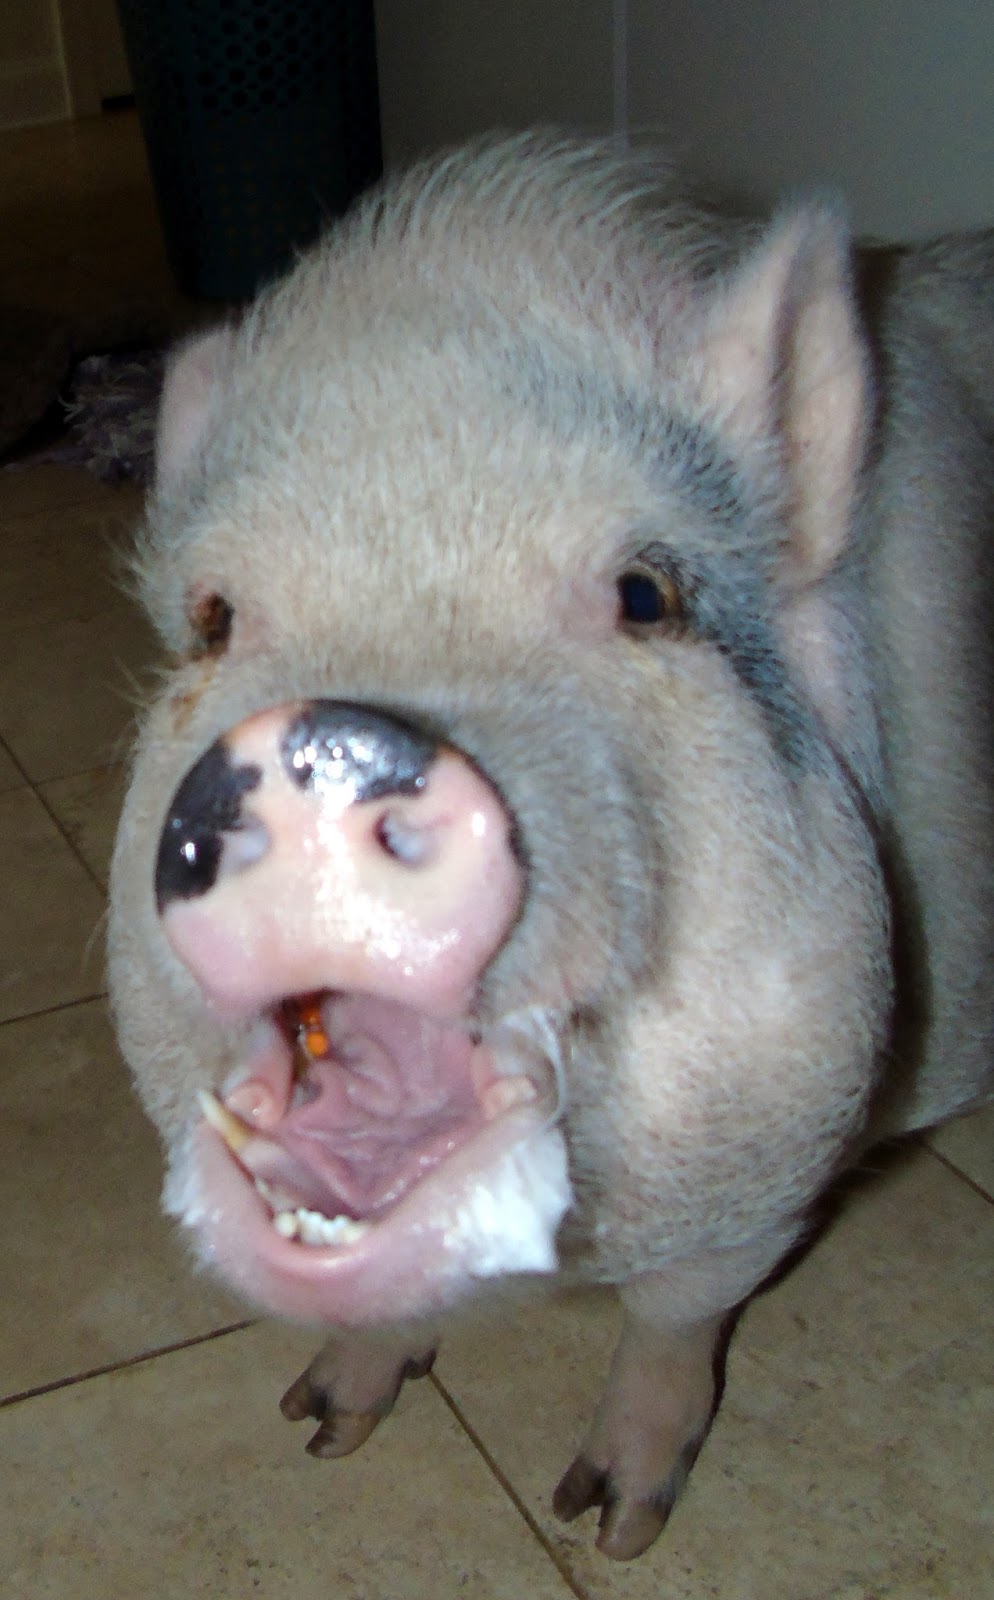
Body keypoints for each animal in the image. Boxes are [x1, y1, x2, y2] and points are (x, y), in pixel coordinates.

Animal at [108, 133, 994, 1561]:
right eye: (214, 619)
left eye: (646, 593)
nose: (322, 747)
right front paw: (319, 1426)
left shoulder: (798, 1113)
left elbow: (686, 1303)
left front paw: (610, 1525)